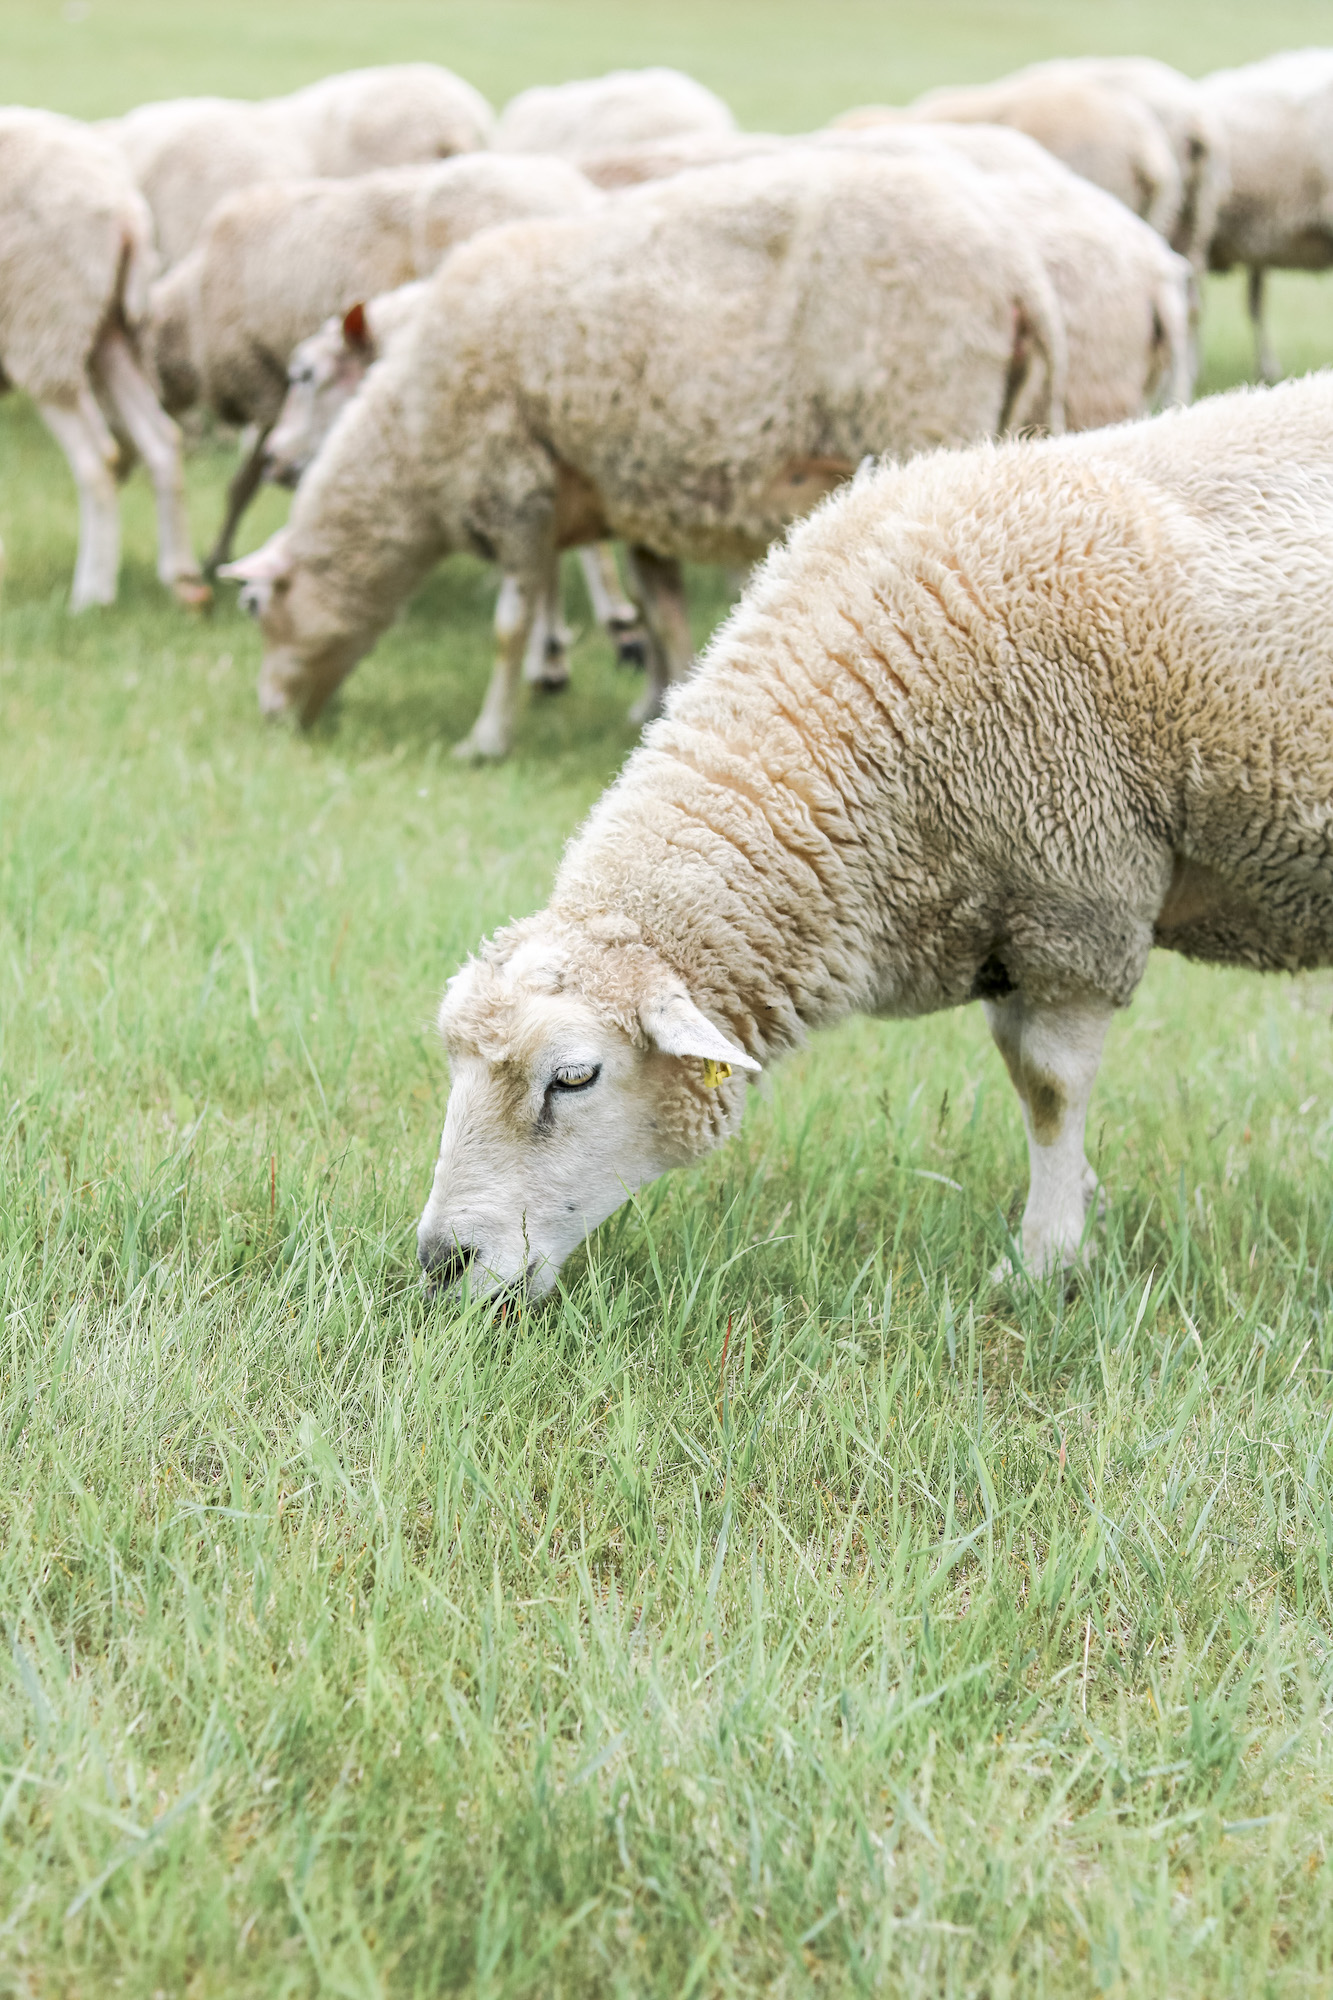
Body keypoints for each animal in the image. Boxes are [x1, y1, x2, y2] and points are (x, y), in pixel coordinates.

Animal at [0, 107, 204, 610]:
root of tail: (124, 208)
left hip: (44, 328)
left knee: (97, 462)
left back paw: (91, 594)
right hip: (110, 332)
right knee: (161, 441)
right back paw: (181, 577)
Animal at [414, 374, 1333, 1299]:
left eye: (573, 1078)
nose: (442, 1263)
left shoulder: (1076, 905)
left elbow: (1048, 1090)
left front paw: (1043, 1262)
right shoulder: (1008, 920)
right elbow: (1023, 1076)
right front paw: (1083, 1207)